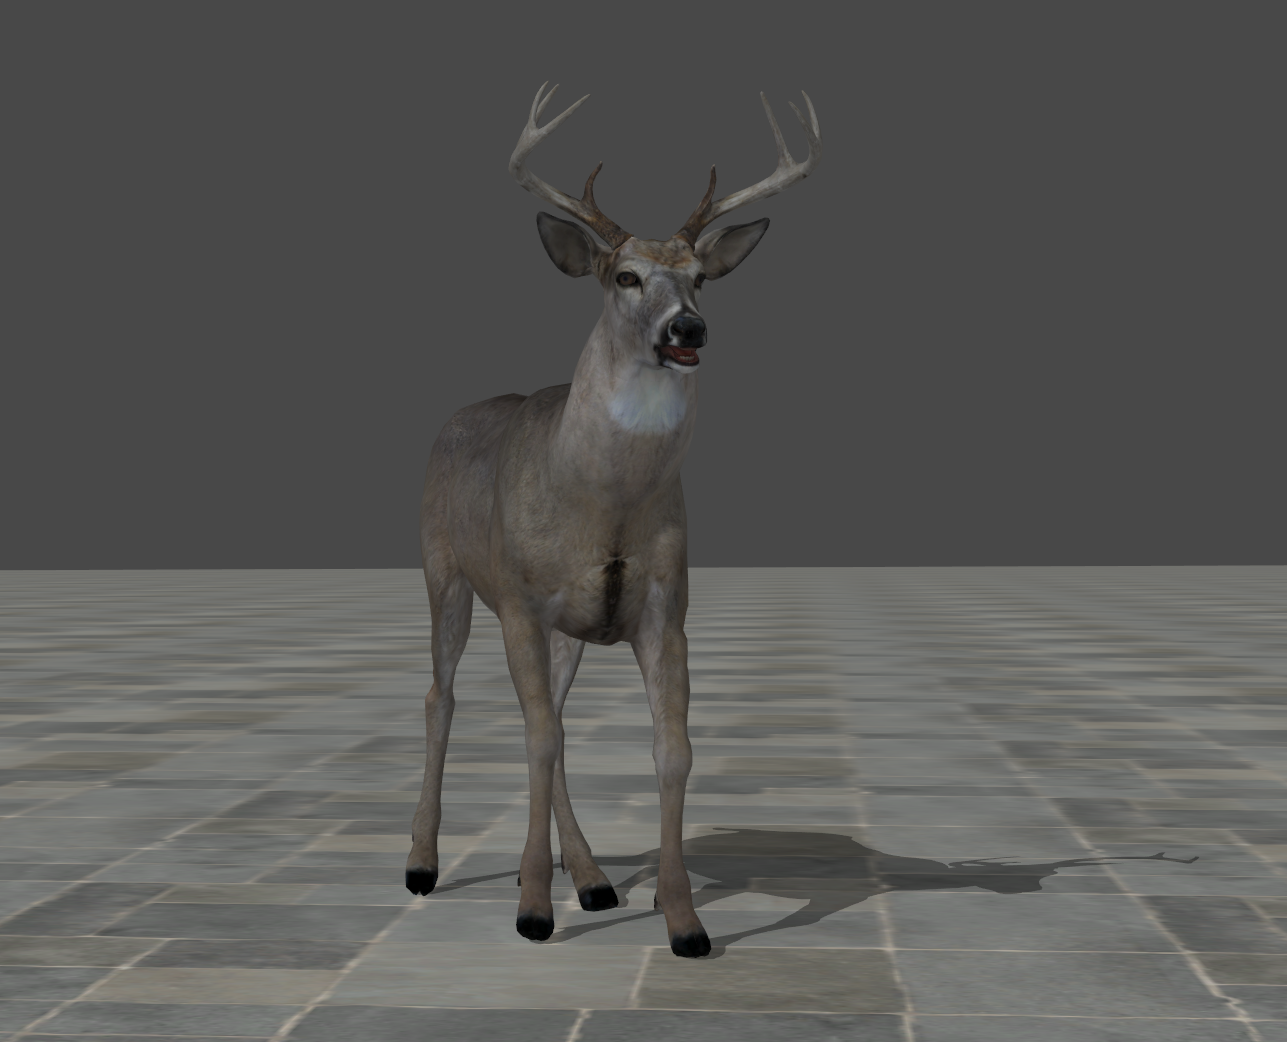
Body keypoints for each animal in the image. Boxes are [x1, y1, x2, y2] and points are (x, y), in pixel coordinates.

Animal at [405, 82, 822, 958]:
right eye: (625, 276)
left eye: (700, 279)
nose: (687, 330)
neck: (607, 501)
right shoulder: (520, 603)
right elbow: (533, 739)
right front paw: (533, 911)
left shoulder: (666, 606)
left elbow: (671, 750)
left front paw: (683, 920)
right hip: (443, 571)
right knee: (442, 697)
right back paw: (424, 864)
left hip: (565, 626)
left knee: (556, 719)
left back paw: (594, 879)